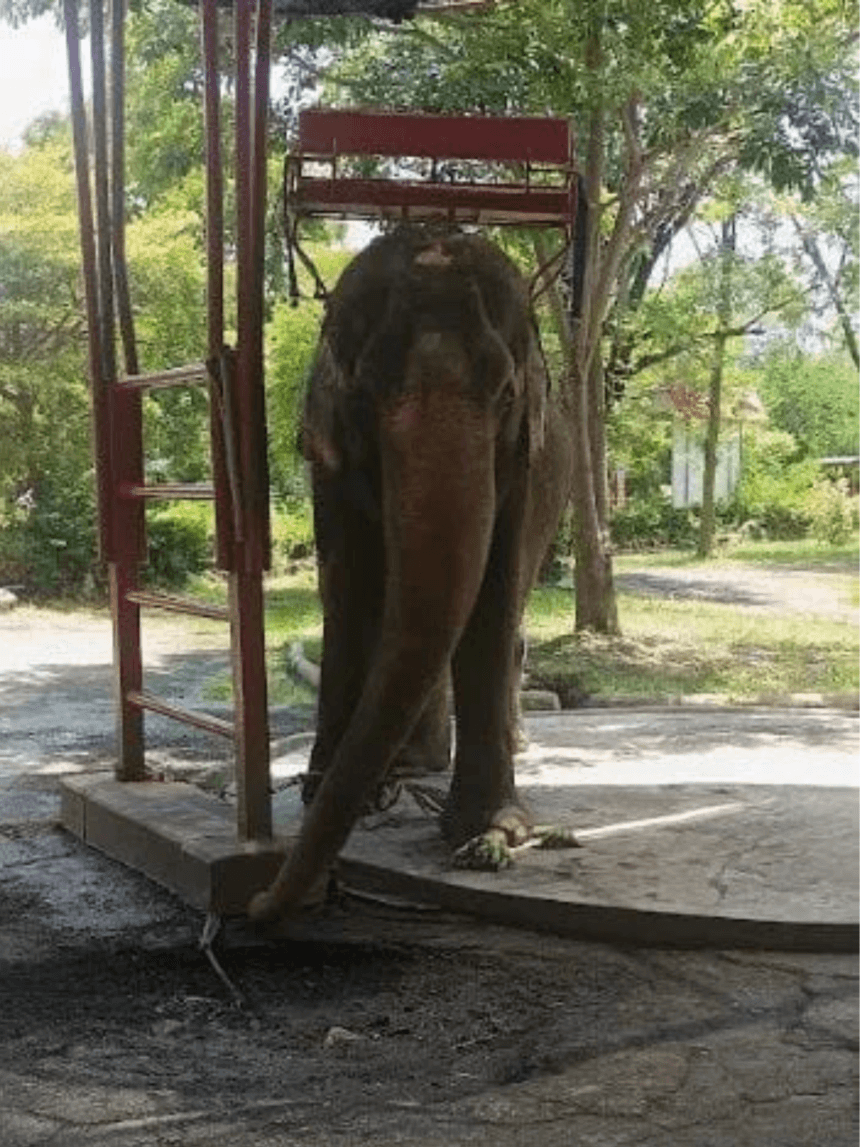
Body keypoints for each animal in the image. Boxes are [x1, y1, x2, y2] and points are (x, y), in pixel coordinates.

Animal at [249, 225, 574, 922]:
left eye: (507, 394)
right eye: (364, 393)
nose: (261, 901)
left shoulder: (524, 467)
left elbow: (492, 591)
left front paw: (493, 829)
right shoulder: (328, 459)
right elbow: (349, 585)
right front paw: (323, 791)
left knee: (511, 607)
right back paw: (409, 769)